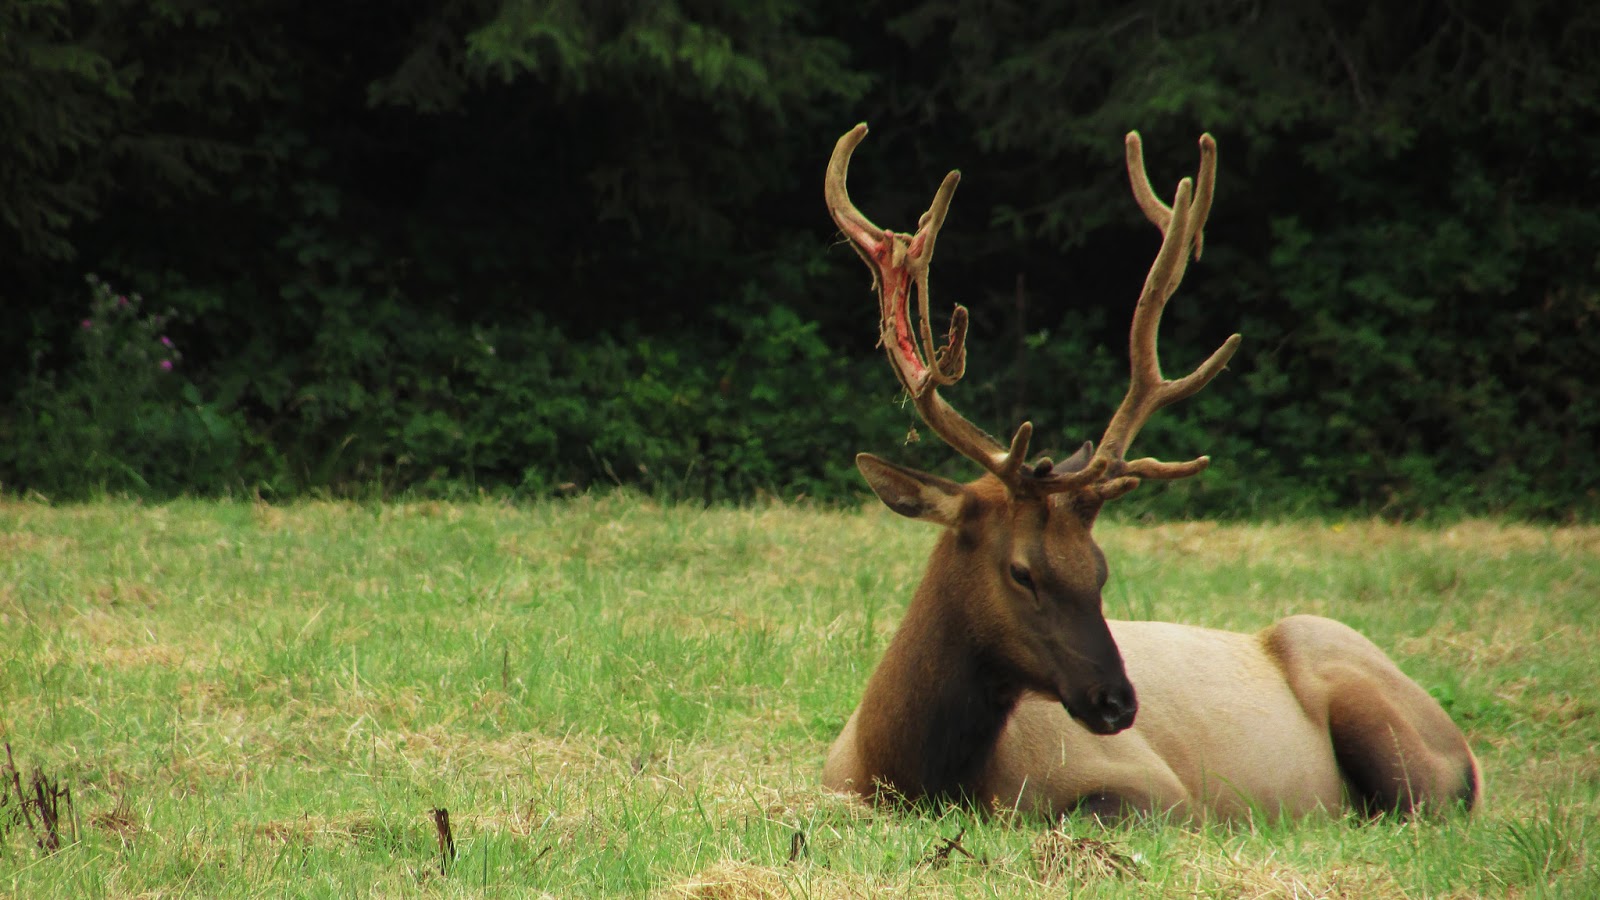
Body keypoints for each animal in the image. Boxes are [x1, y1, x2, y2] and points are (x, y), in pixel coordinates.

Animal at [820, 123, 1481, 821]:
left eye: (1100, 569)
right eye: (1021, 571)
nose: (1117, 702)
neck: (900, 765)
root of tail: (1469, 754)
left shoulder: (1162, 791)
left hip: (1384, 720)